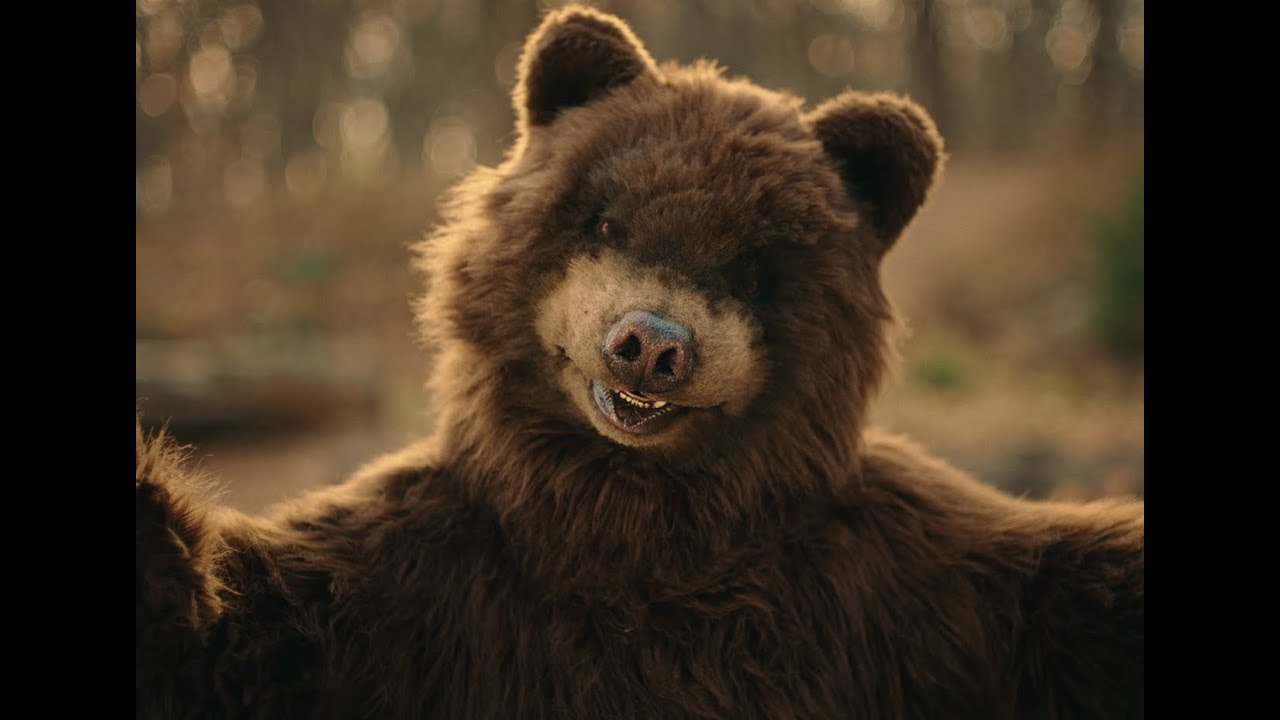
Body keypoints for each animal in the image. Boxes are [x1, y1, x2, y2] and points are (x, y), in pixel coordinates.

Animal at [136, 5, 1144, 719]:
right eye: (608, 218)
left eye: (754, 265)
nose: (653, 345)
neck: (640, 530)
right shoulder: (409, 591)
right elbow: (234, 635)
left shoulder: (902, 585)